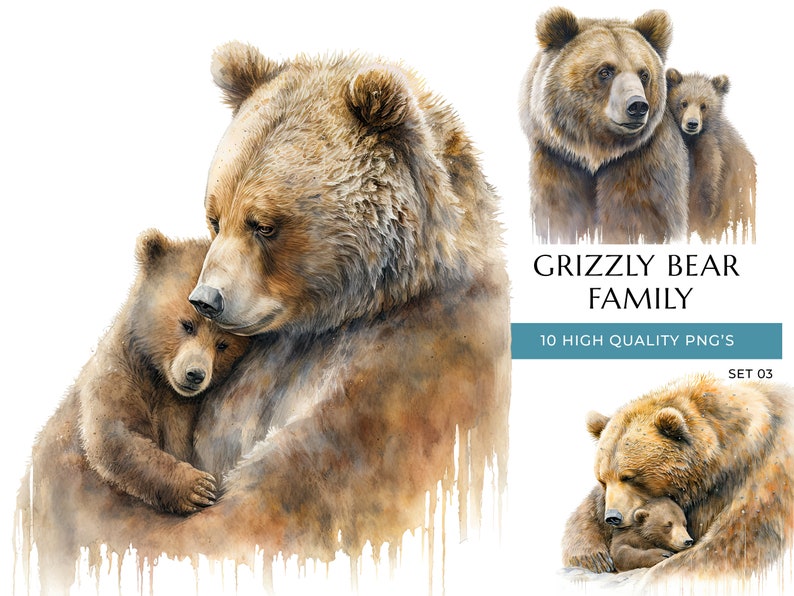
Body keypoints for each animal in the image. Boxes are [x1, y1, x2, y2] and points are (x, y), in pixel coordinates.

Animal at [76, 228, 250, 515]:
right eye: (187, 324)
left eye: (223, 345)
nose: (195, 374)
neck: (158, 377)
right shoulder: (118, 371)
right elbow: (115, 434)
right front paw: (197, 487)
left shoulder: (180, 405)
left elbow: (176, 437)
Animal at [518, 8, 689, 244]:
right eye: (605, 71)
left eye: (644, 74)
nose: (637, 105)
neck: (598, 150)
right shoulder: (556, 160)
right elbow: (557, 213)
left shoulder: (644, 166)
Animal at [561, 375, 794, 582]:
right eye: (603, 479)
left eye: (629, 476)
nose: (612, 517)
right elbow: (588, 513)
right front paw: (594, 557)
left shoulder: (763, 477)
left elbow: (732, 541)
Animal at [665, 69, 757, 244]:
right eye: (684, 103)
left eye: (704, 106)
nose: (692, 123)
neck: (691, 141)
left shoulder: (712, 155)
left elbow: (705, 195)